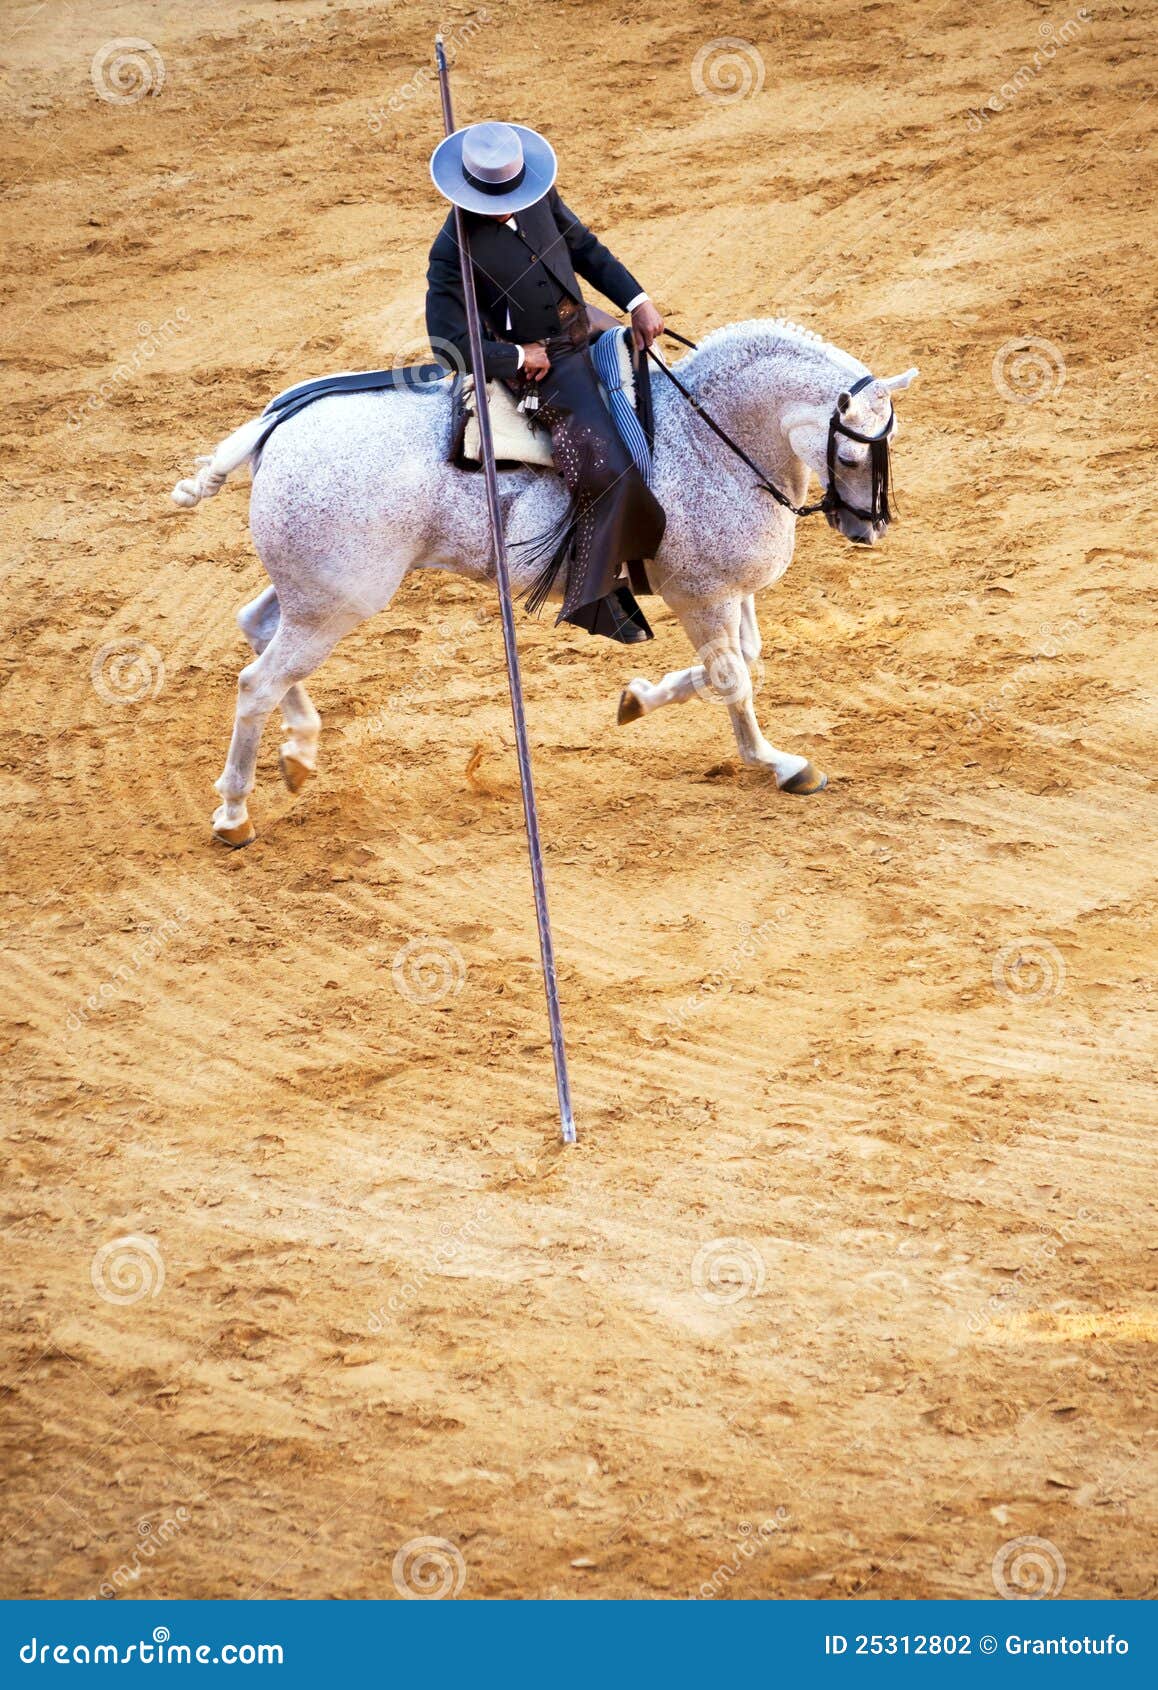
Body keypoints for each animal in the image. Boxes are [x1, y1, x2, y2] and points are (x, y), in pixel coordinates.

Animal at [170, 319, 917, 846]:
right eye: (854, 454)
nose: (869, 529)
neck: (708, 437)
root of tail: (280, 423)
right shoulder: (701, 595)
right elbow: (732, 677)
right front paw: (778, 763)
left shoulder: (732, 594)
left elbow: (739, 662)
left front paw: (637, 699)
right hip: (336, 604)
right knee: (256, 684)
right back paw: (234, 814)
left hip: (317, 595)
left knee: (256, 629)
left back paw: (298, 753)